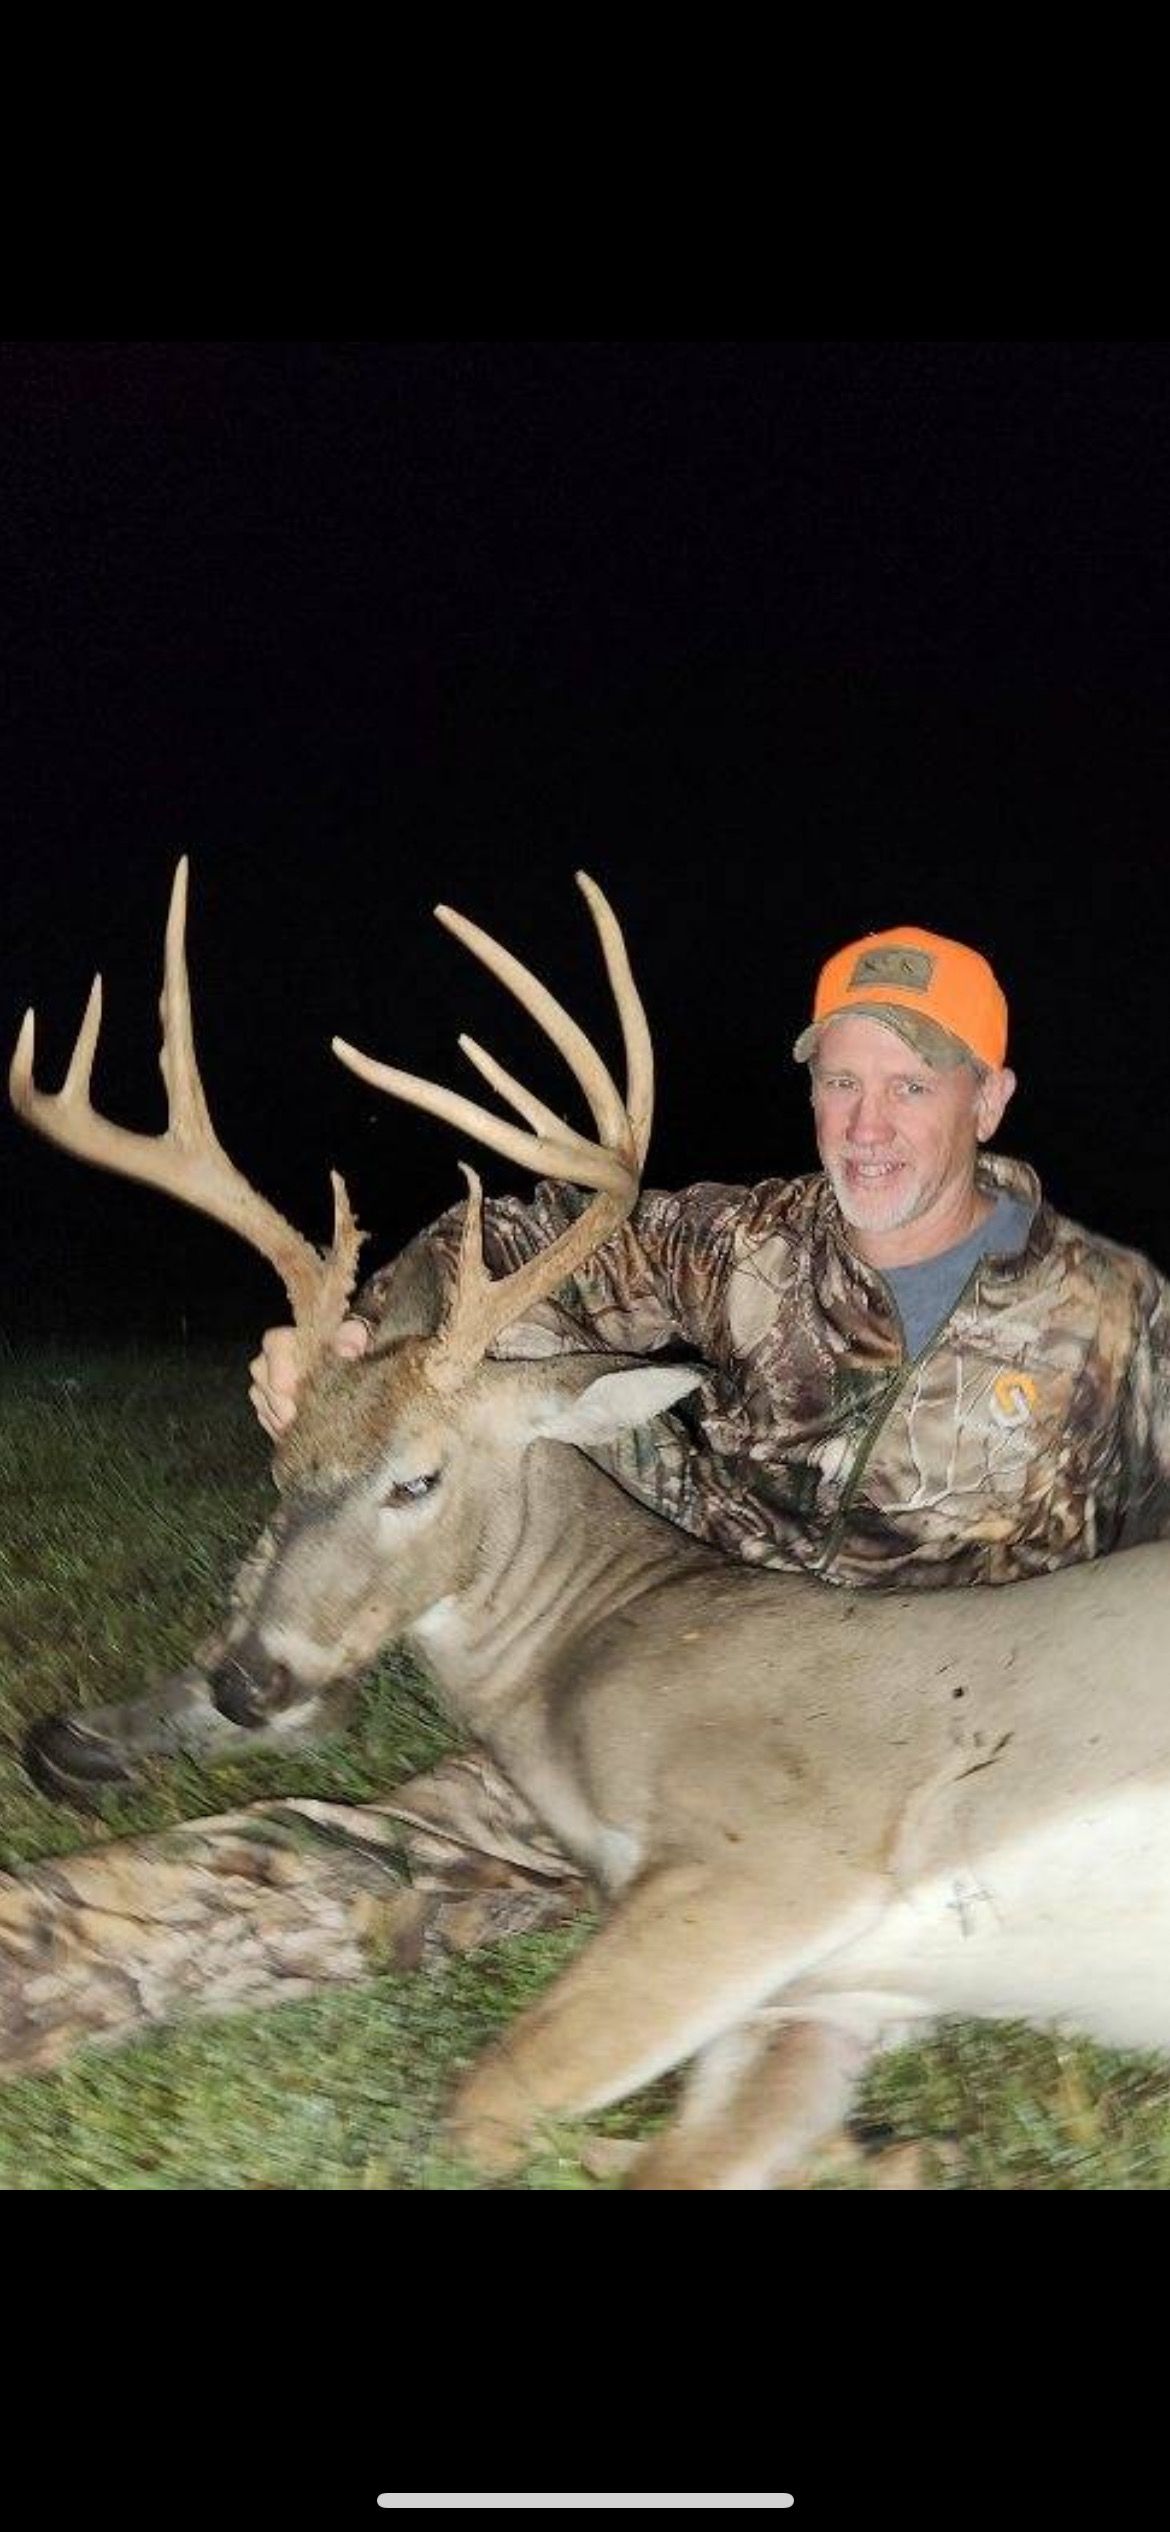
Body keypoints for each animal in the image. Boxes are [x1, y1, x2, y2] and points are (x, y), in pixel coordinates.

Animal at [11, 859, 1170, 2189]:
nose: (249, 1681)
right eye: (285, 1463)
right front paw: (899, 2150)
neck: (599, 1652)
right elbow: (700, 2151)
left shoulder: (775, 1854)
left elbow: (480, 2111)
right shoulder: (827, 1995)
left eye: (418, 1480)